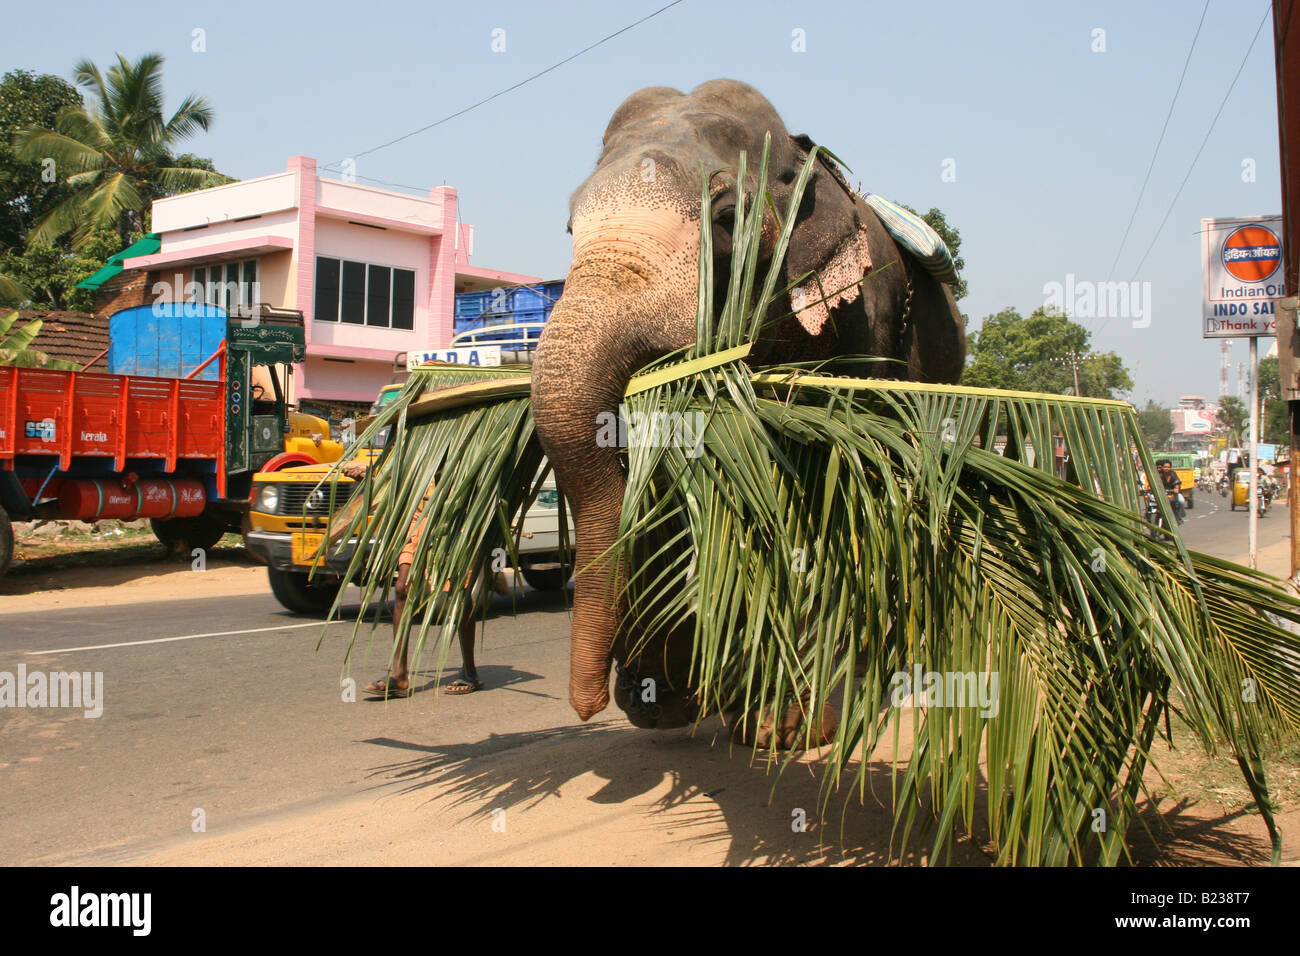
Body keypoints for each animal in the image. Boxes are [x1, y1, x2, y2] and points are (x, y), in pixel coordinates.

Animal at [530, 78, 965, 734]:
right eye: (568, 226)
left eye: (727, 217)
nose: (588, 707)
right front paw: (661, 703)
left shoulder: (866, 307)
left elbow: (828, 482)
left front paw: (788, 724)